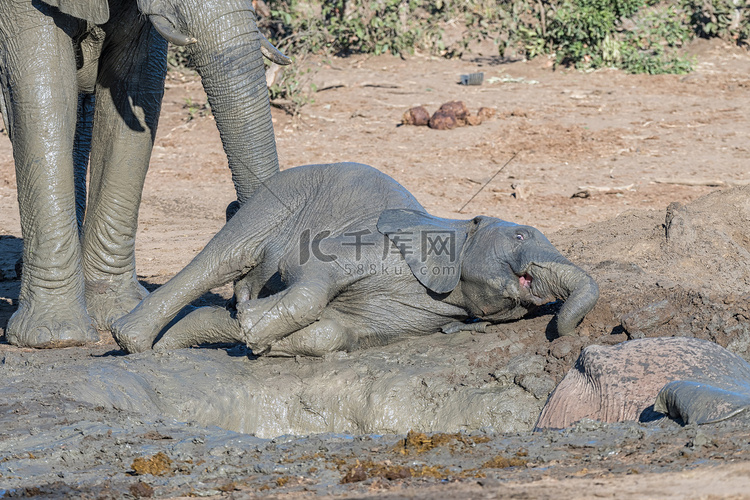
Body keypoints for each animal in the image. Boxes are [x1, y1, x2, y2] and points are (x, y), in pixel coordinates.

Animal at [112, 162, 600, 355]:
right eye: (519, 234)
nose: (560, 332)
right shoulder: (371, 247)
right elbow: (310, 276)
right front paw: (251, 328)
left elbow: (335, 331)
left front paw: (255, 337)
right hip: (279, 196)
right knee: (224, 257)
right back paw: (131, 341)